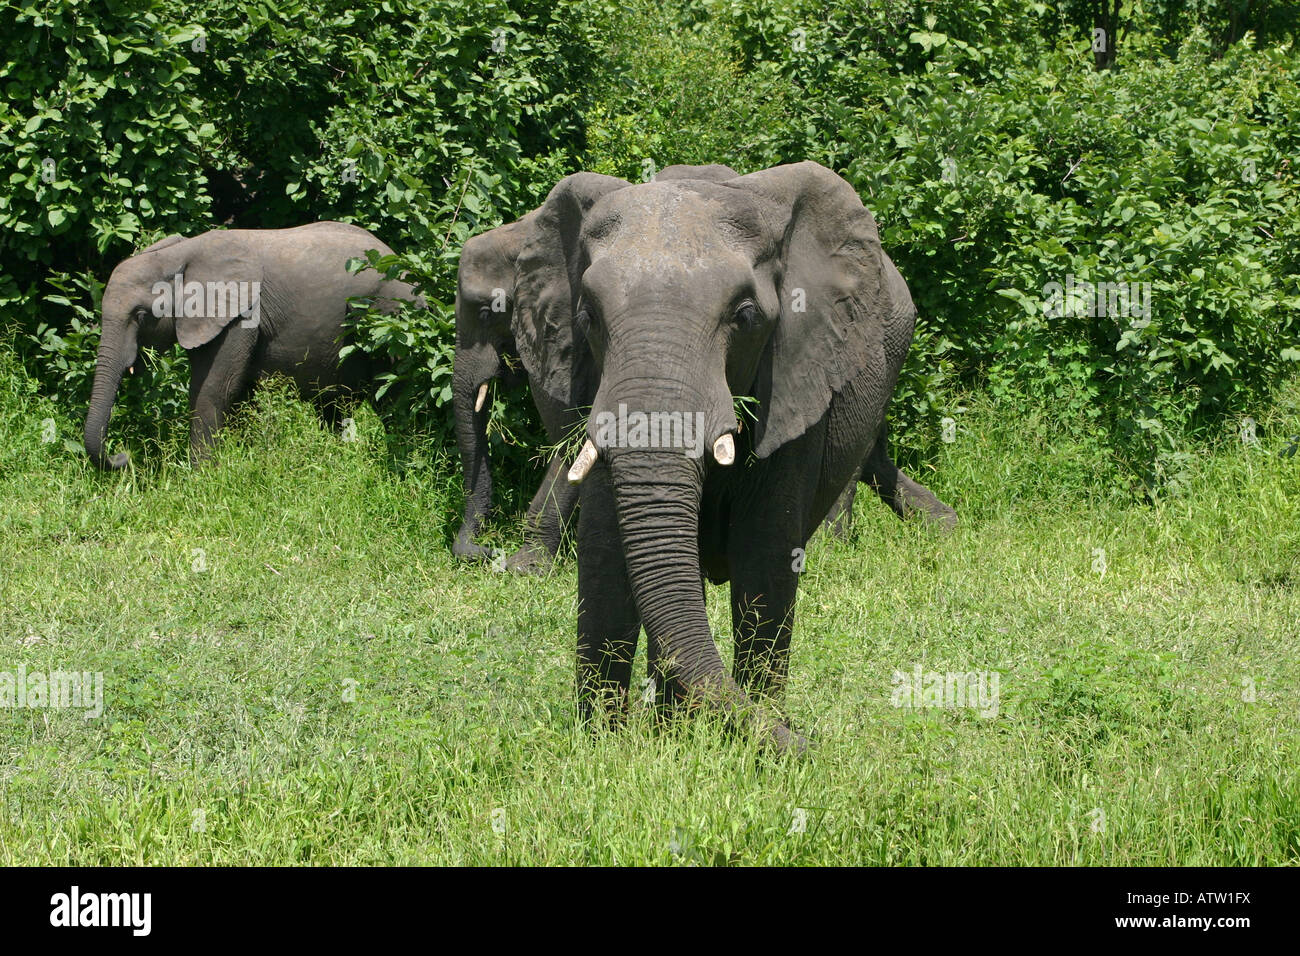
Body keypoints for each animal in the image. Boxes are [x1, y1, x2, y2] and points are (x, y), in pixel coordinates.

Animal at [83, 221, 419, 469]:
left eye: (140, 315)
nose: (123, 457)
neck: (177, 255)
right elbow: (240, 393)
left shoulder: (241, 315)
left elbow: (215, 389)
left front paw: (199, 477)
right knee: (333, 407)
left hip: (392, 317)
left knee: (393, 399)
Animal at [513, 161, 956, 752]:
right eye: (588, 318)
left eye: (744, 316)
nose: (808, 746)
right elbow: (606, 557)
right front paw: (606, 744)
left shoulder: (797, 370)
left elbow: (765, 556)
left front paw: (747, 730)